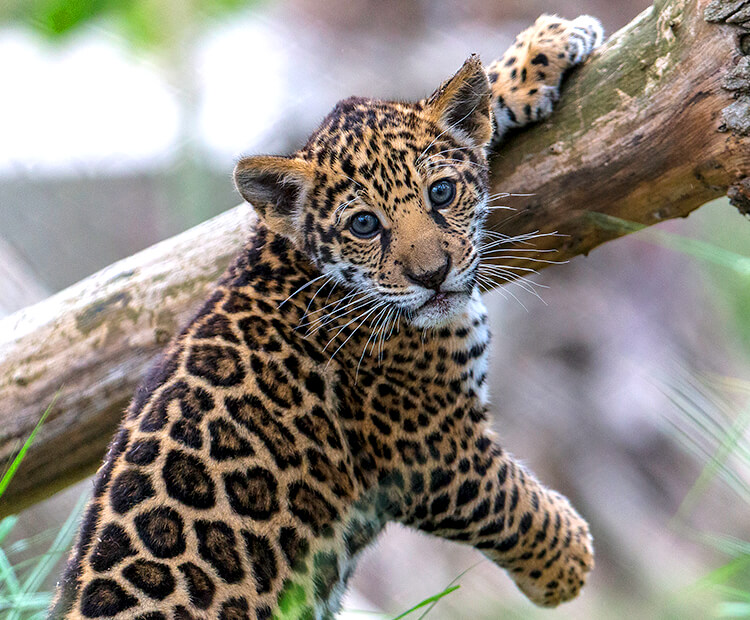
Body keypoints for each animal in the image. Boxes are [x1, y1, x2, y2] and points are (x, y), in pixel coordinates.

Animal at [50, 14, 603, 620]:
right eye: (364, 225)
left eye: (441, 192)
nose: (432, 275)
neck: (313, 277)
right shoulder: (428, 446)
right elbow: (508, 502)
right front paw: (568, 561)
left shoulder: (272, 223)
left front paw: (543, 47)